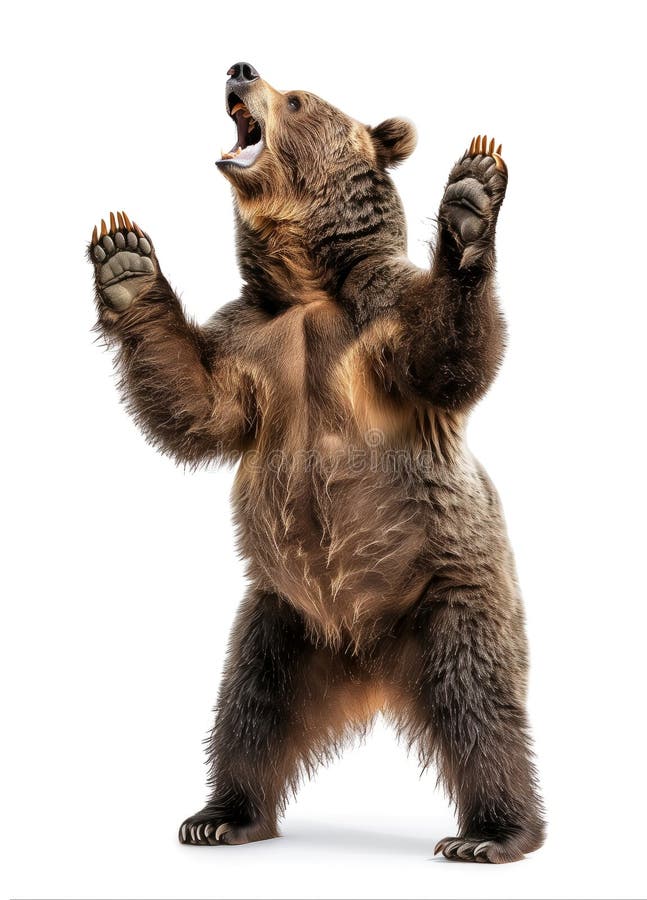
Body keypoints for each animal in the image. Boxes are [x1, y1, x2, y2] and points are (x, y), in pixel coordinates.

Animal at [88, 61, 545, 863]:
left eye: (297, 98)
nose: (239, 67)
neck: (308, 288)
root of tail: (367, 661)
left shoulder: (379, 323)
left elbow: (446, 358)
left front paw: (468, 206)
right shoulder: (251, 344)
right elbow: (197, 405)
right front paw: (125, 262)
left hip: (451, 593)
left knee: (478, 702)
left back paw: (492, 833)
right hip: (281, 619)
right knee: (248, 709)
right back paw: (220, 815)